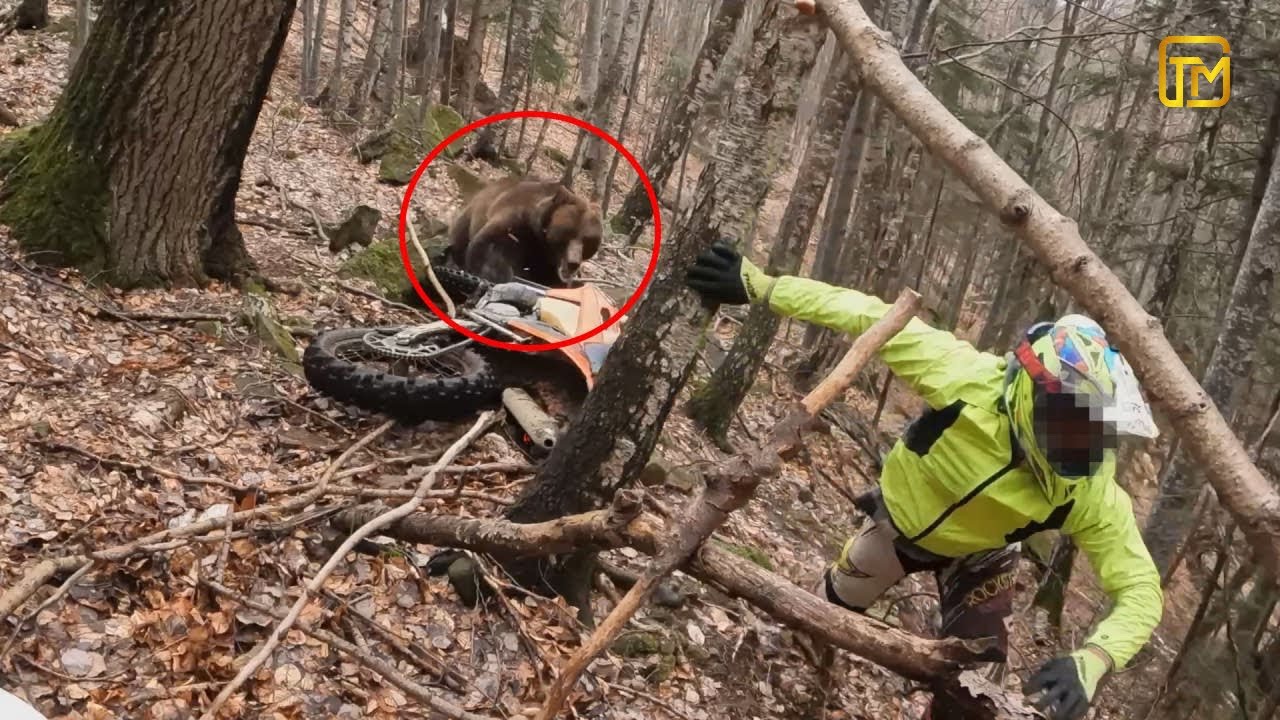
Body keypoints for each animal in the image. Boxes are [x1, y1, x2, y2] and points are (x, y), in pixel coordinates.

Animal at [445, 177, 603, 288]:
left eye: (587, 240)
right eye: (568, 232)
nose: (573, 263)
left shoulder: (546, 259)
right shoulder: (517, 223)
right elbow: (489, 246)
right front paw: (499, 275)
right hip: (470, 216)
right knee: (460, 239)